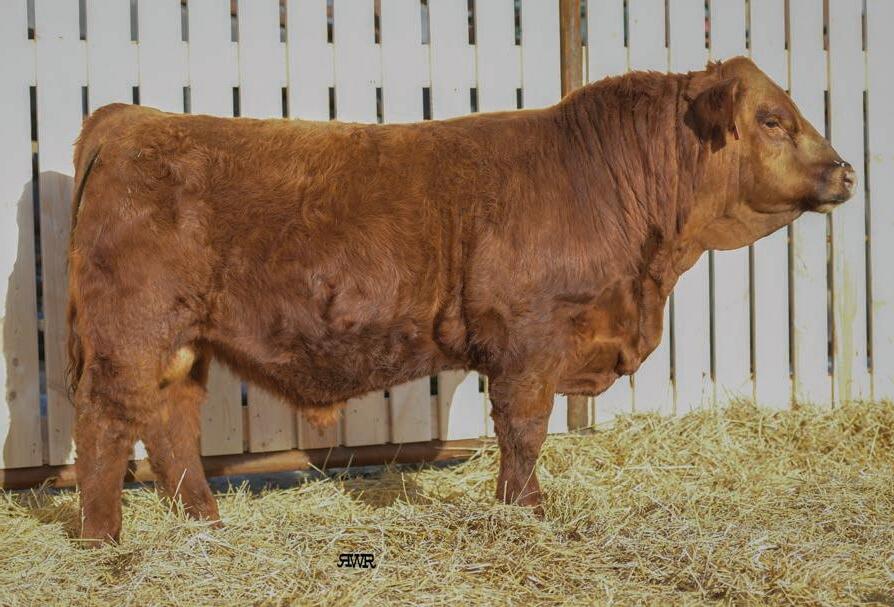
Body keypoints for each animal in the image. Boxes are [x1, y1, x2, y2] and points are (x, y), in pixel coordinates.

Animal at [67, 57, 855, 545]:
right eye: (773, 119)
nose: (846, 171)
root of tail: (129, 119)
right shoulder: (530, 343)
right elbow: (524, 431)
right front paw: (526, 513)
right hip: (130, 332)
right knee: (106, 423)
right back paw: (105, 540)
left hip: (180, 342)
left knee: (168, 423)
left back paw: (204, 523)